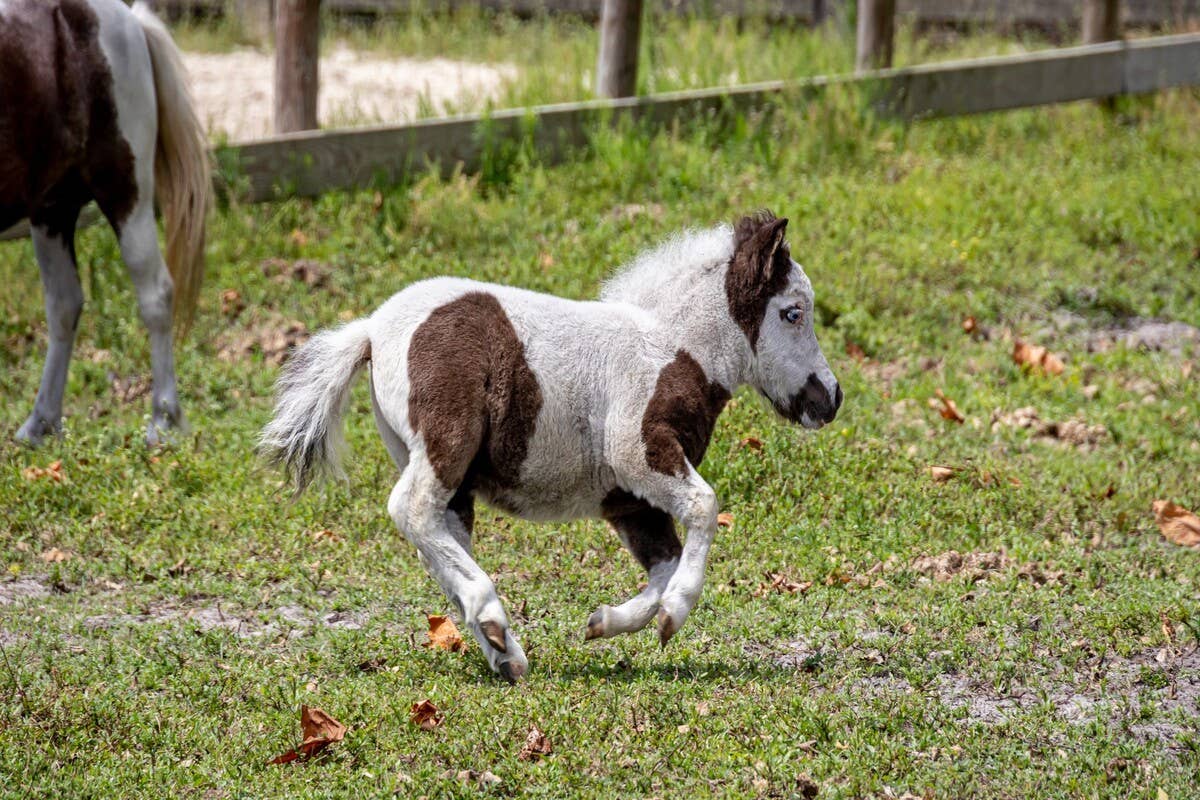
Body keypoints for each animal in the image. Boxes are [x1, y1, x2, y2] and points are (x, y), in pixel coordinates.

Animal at [1, 0, 211, 446]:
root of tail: (127, 18)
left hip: (124, 191)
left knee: (155, 294)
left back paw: (164, 419)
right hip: (51, 208)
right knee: (64, 304)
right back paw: (41, 423)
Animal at [261, 211, 842, 681]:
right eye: (792, 312)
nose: (830, 398)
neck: (673, 349)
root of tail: (372, 330)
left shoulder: (628, 499)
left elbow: (664, 563)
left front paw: (604, 622)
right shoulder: (639, 452)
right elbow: (704, 509)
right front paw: (674, 615)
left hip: (445, 471)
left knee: (439, 535)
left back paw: (504, 652)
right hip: (447, 443)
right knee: (412, 509)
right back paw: (493, 618)